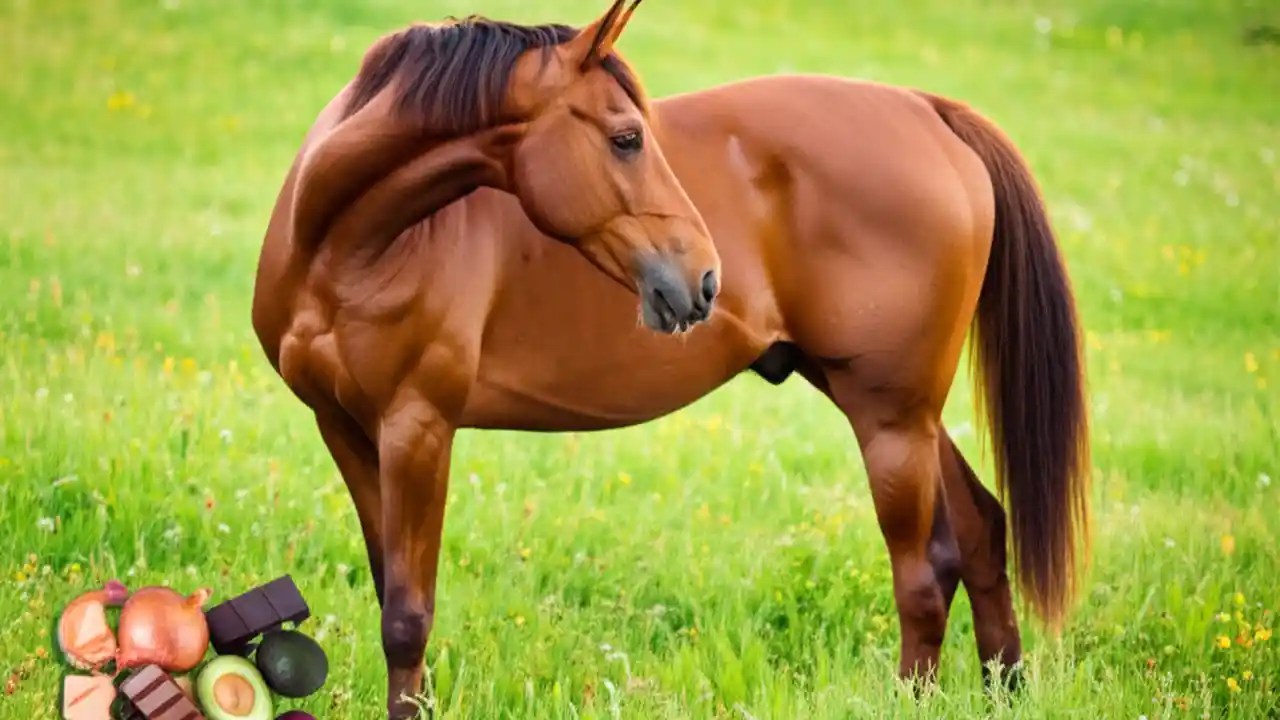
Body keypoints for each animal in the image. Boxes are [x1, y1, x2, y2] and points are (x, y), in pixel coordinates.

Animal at [251, 2, 1090, 716]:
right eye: (626, 137)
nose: (704, 280)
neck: (345, 246)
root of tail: (927, 109)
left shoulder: (419, 430)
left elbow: (408, 615)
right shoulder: (345, 428)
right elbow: (391, 592)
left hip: (889, 417)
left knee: (922, 573)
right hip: (897, 408)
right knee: (979, 533)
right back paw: (1006, 690)